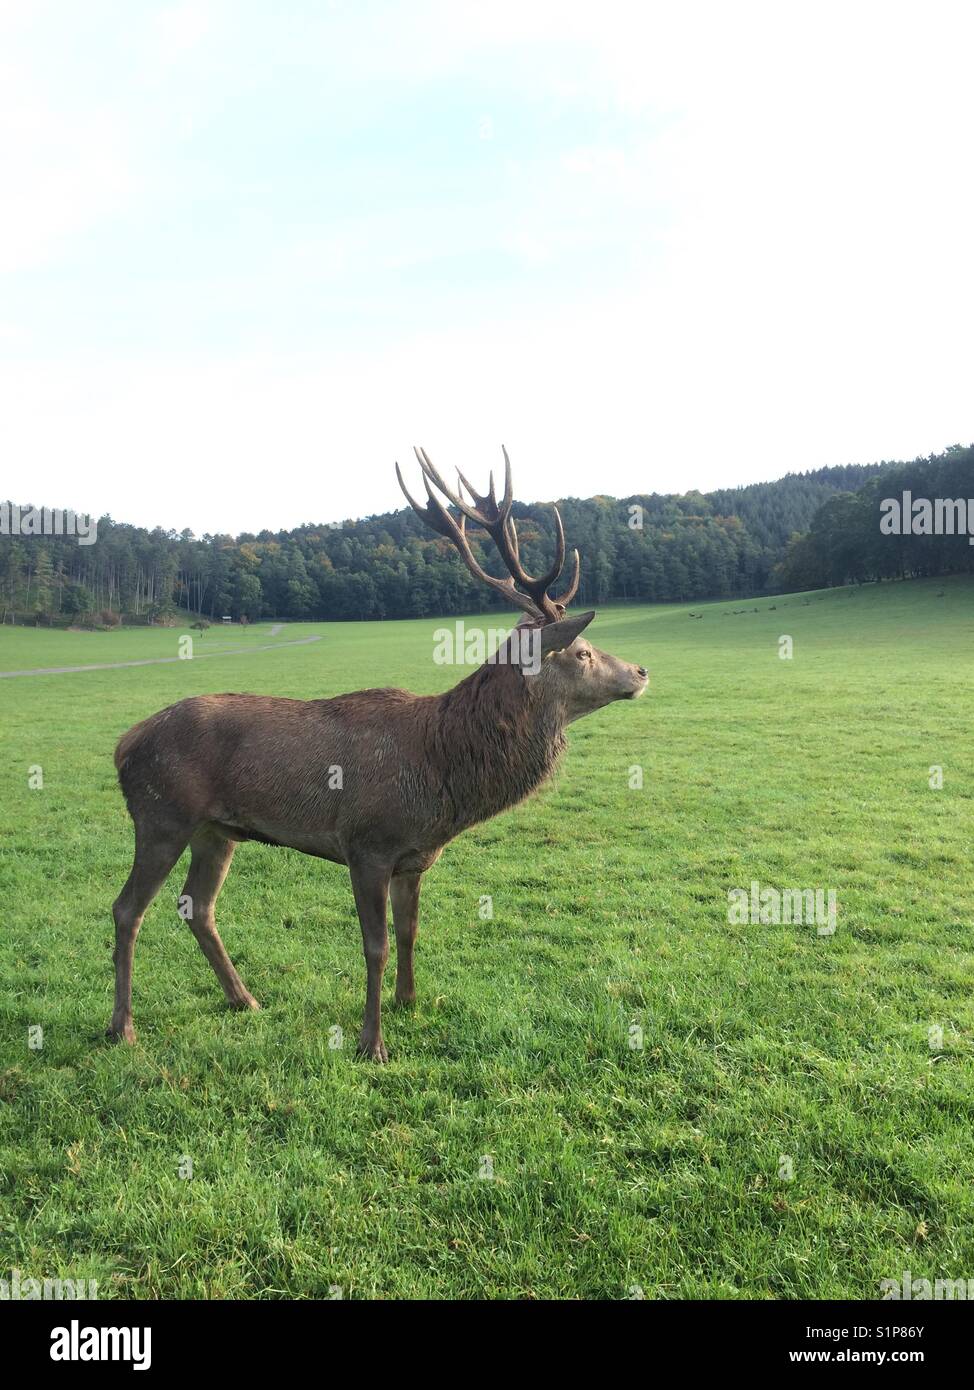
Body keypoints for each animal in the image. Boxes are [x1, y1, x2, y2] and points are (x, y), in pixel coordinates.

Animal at [108, 449, 649, 1060]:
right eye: (582, 652)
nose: (640, 671)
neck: (442, 776)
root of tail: (123, 744)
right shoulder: (366, 844)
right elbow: (376, 946)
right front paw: (373, 1042)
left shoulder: (415, 857)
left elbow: (411, 932)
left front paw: (410, 1002)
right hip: (161, 816)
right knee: (128, 908)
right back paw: (123, 1026)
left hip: (216, 830)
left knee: (198, 907)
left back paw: (244, 999)